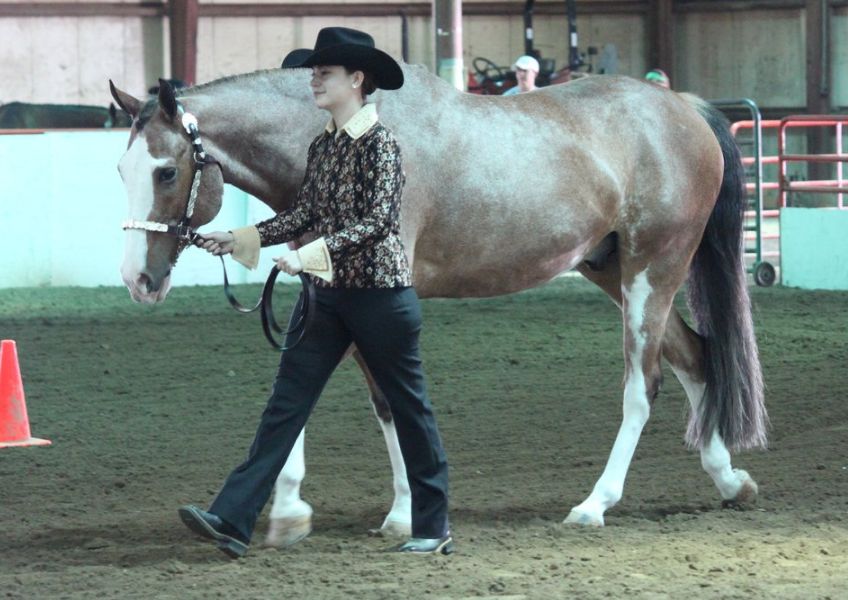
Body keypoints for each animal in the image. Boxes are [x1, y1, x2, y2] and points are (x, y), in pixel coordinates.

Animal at [109, 64, 768, 546]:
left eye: (166, 172)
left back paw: (594, 504)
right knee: (696, 358)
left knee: (644, 383)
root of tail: (683, 107)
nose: (139, 280)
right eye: (120, 168)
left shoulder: (376, 293)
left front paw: (402, 515)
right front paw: (289, 510)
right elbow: (306, 394)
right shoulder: (329, 290)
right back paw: (729, 481)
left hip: (653, 269)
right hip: (613, 269)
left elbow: (388, 400)